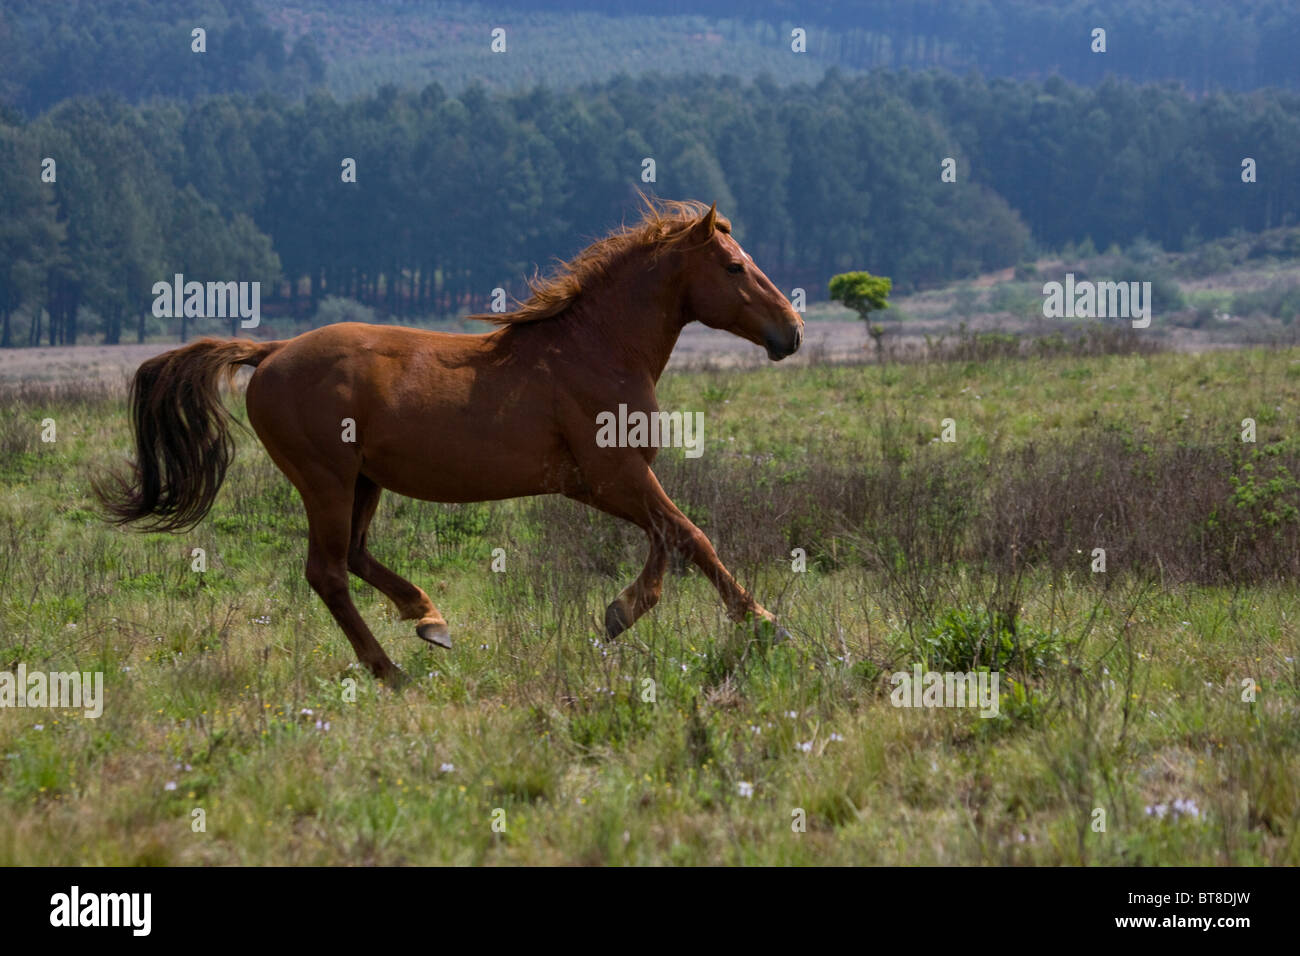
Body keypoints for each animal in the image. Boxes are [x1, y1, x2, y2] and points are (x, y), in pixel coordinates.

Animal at [97, 199, 804, 684]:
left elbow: (668, 539)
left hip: (363, 482)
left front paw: (620, 613)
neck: (594, 350)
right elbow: (691, 536)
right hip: (326, 481)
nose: (792, 331)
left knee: (354, 557)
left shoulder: (604, 483)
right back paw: (392, 671)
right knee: (327, 572)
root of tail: (269, 353)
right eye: (735, 266)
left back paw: (428, 619)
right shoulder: (613, 477)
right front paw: (765, 624)